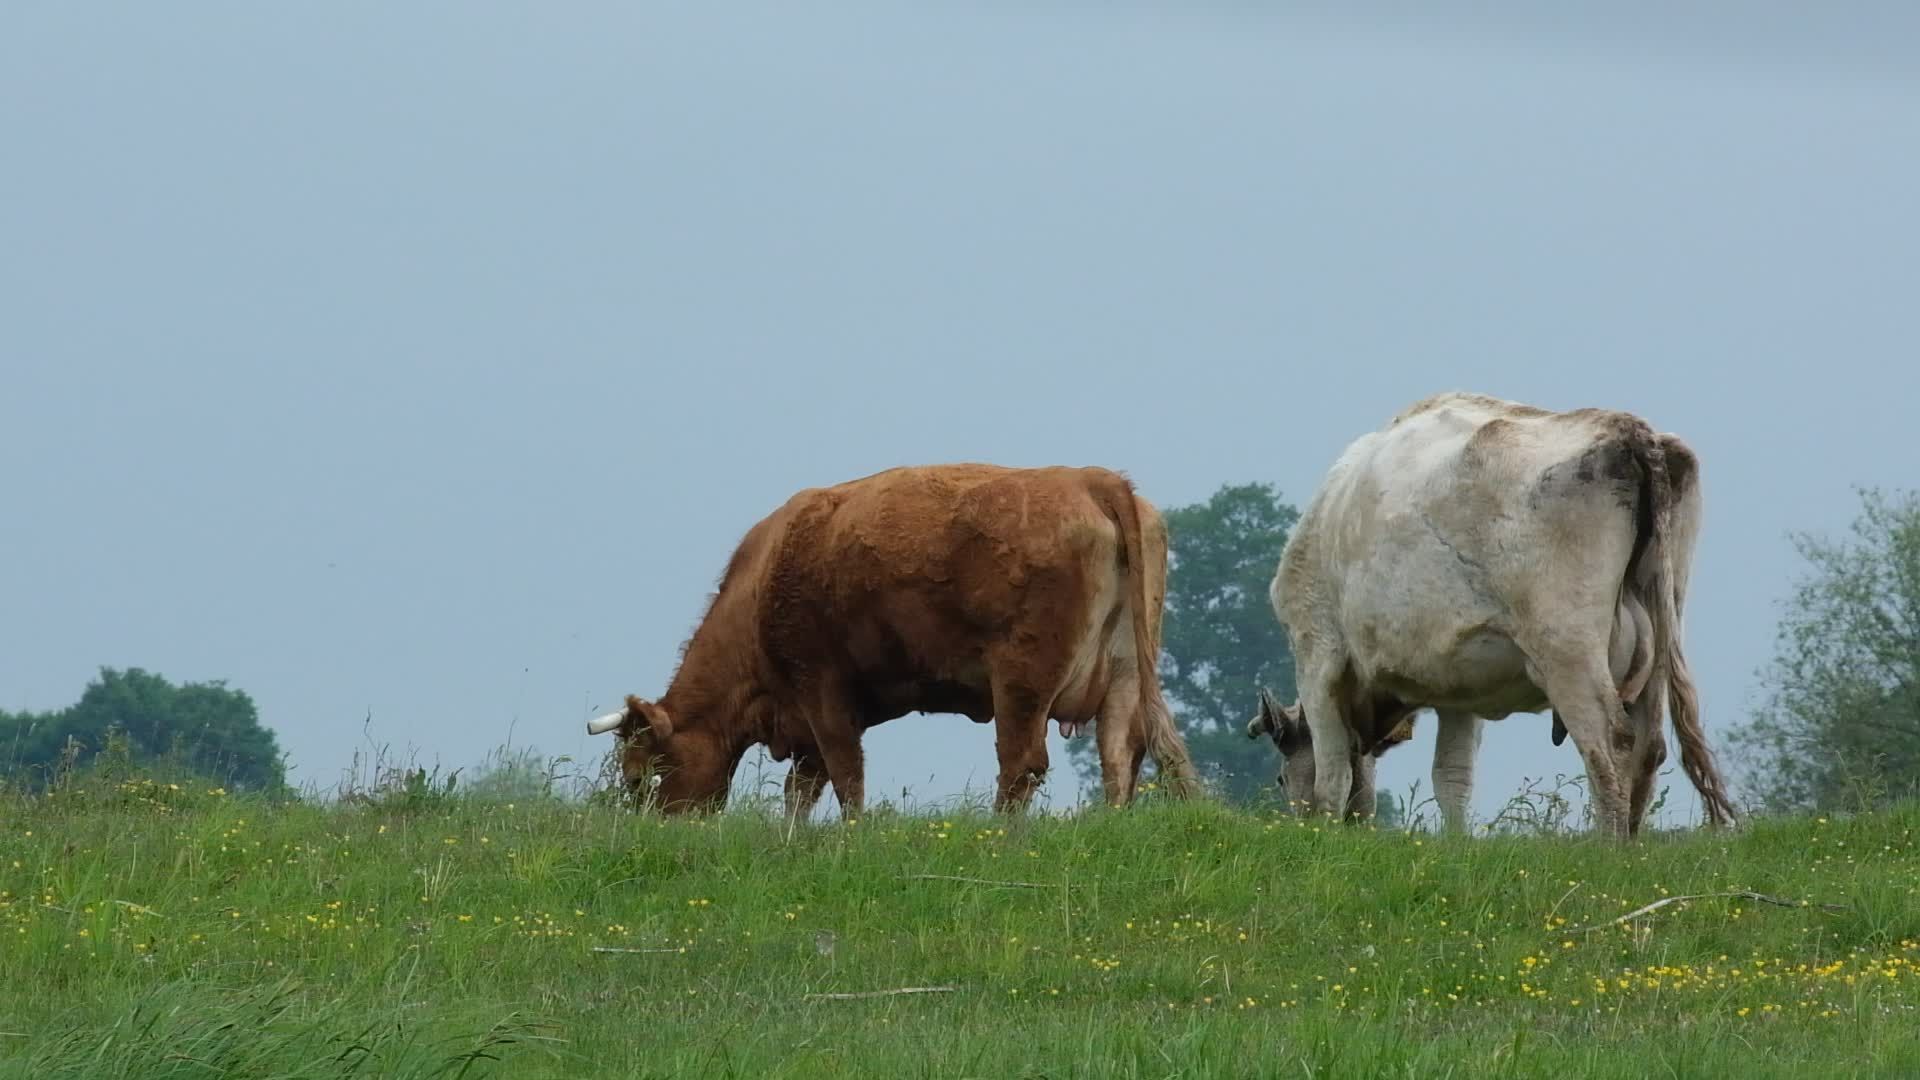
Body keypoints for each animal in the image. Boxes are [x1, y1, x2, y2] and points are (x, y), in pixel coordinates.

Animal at [585, 463, 1201, 818]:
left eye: (640, 777)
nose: (657, 831)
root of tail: (1086, 476)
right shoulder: (805, 716)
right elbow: (802, 786)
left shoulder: (823, 692)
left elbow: (843, 775)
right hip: (1123, 674)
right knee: (1119, 757)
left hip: (1022, 682)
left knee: (1021, 764)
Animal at [1256, 392, 1738, 838]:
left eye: (1279, 778)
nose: (1293, 822)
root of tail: (1628, 428)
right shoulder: (1458, 688)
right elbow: (1450, 778)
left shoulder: (1317, 655)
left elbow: (1333, 776)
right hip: (1658, 641)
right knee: (1649, 747)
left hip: (1567, 648)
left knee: (1609, 741)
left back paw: (1608, 847)